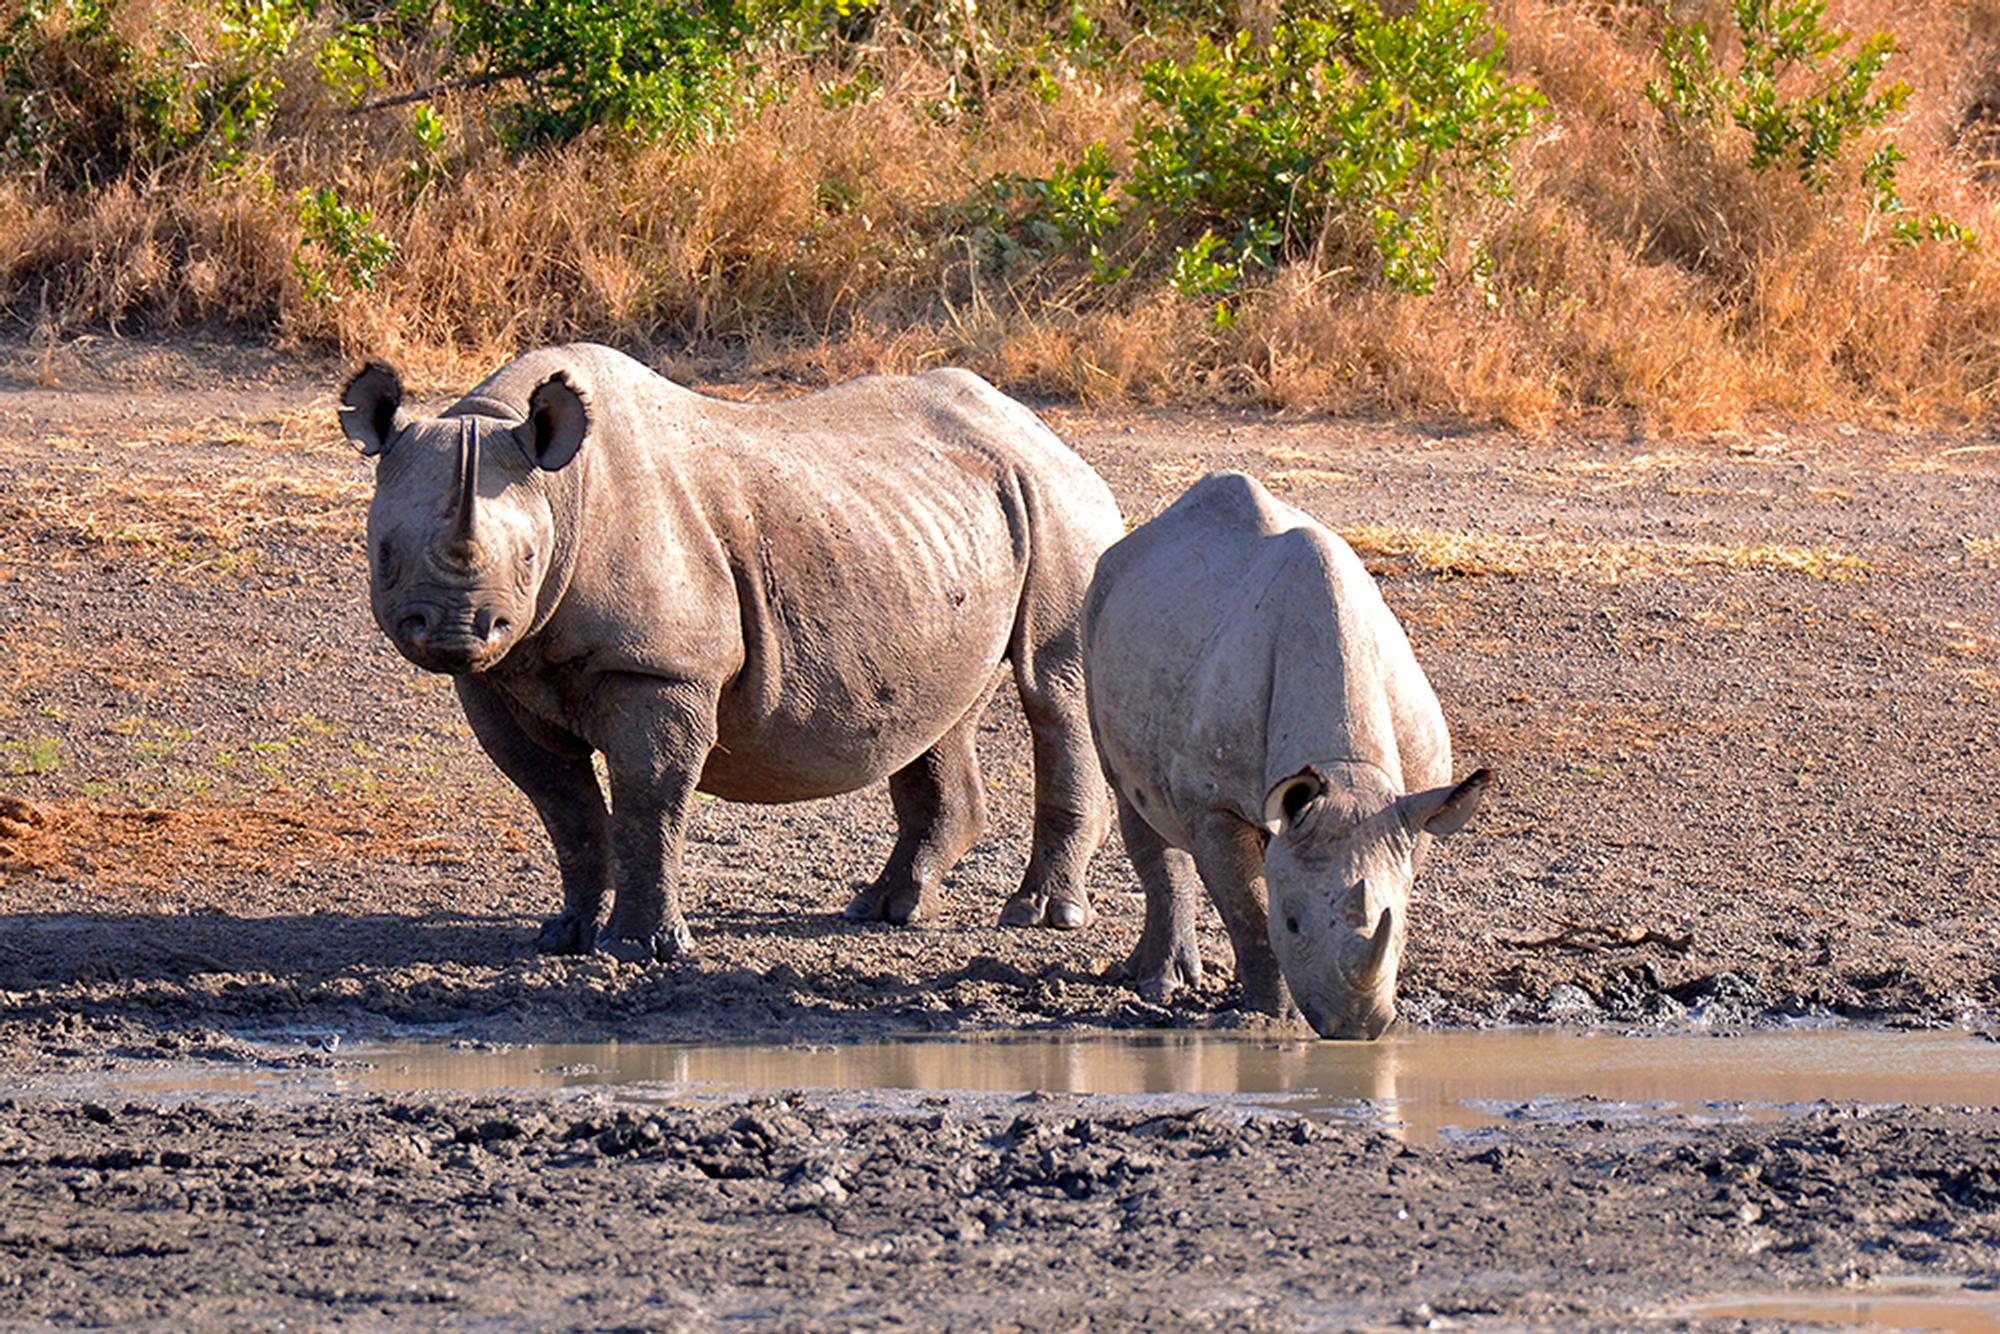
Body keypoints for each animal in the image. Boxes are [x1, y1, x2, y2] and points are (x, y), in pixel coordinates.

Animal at [339, 343, 1125, 961]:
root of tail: (1047, 433)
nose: (454, 633)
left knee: (1051, 687)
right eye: (384, 554)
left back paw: (1041, 916)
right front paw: (563, 936)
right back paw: (883, 909)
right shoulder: (498, 679)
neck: (561, 494)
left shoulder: (662, 668)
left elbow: (648, 801)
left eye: (530, 558)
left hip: (1061, 501)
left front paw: (640, 950)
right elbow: (564, 807)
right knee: (939, 706)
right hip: (939, 531)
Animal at [1082, 472, 1491, 1039]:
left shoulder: (1413, 805)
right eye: (1293, 922)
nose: (1355, 1027)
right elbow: (1250, 909)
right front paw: (1270, 1015)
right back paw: (1161, 983)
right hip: (1097, 600)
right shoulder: (1216, 804)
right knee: (1130, 794)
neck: (1348, 769)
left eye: (1403, 925)